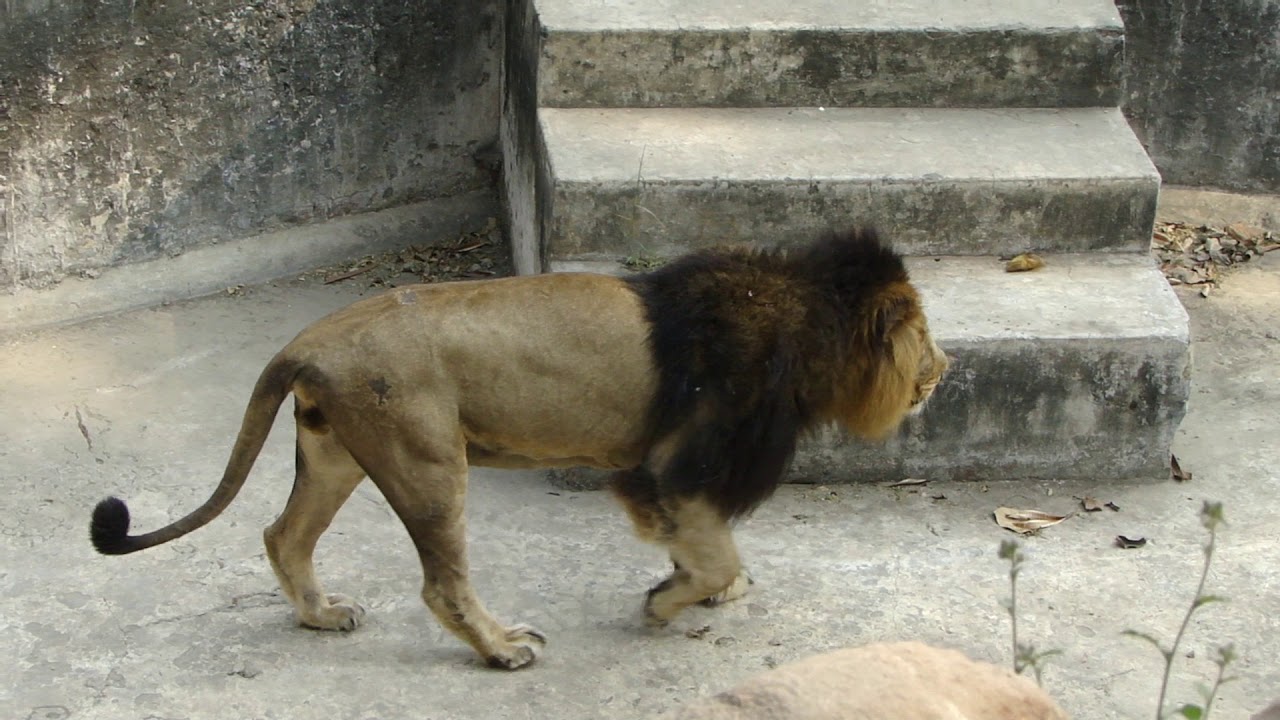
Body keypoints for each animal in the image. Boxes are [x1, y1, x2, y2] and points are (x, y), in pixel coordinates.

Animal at [89, 227, 947, 670]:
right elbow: (712, 551)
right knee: (441, 584)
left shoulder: (674, 478)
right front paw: (668, 604)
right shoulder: (669, 467)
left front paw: (698, 588)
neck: (803, 324)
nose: (944, 370)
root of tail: (304, 342)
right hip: (430, 462)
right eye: (923, 335)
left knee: (283, 534)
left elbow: (704, 548)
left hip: (336, 455)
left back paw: (321, 616)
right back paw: (501, 649)